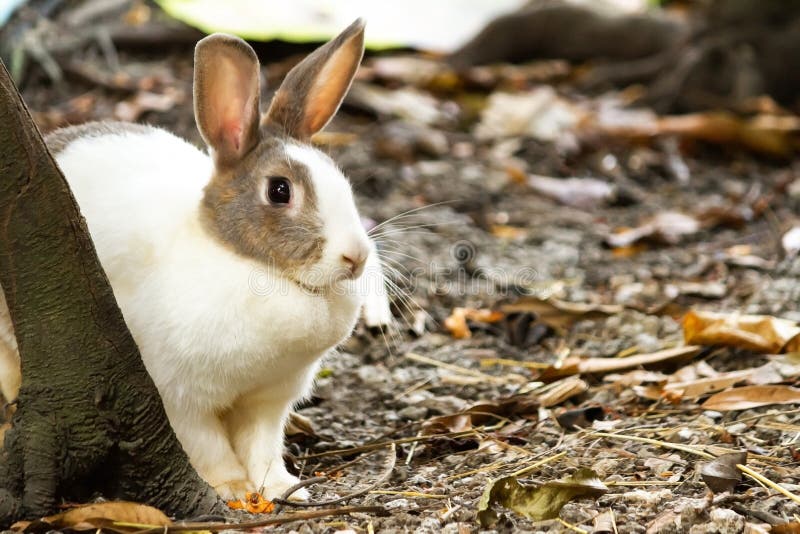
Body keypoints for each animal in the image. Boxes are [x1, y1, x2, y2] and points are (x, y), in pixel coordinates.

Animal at [0, 19, 387, 500]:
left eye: (342, 181)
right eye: (280, 190)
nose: (356, 256)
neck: (247, 264)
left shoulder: (268, 399)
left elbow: (262, 444)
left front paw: (283, 488)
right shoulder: (178, 397)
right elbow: (206, 445)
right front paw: (234, 489)